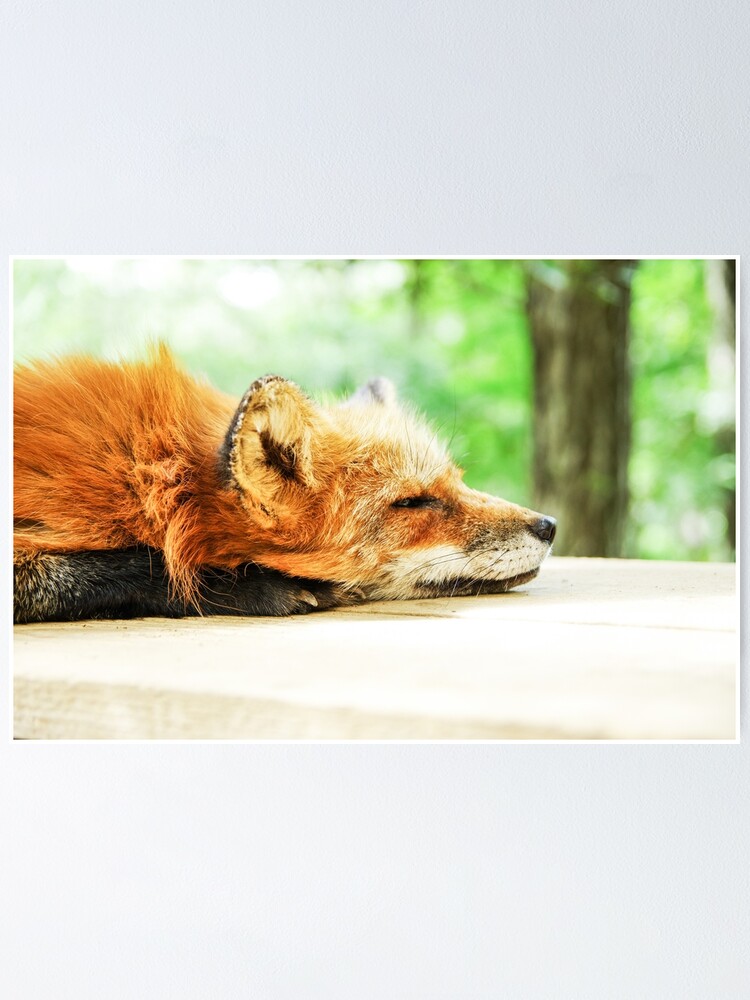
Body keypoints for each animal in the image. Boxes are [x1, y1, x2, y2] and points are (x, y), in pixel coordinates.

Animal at [13, 345, 556, 623]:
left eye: (458, 482)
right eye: (413, 502)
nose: (549, 526)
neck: (144, 476)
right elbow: (140, 566)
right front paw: (260, 587)